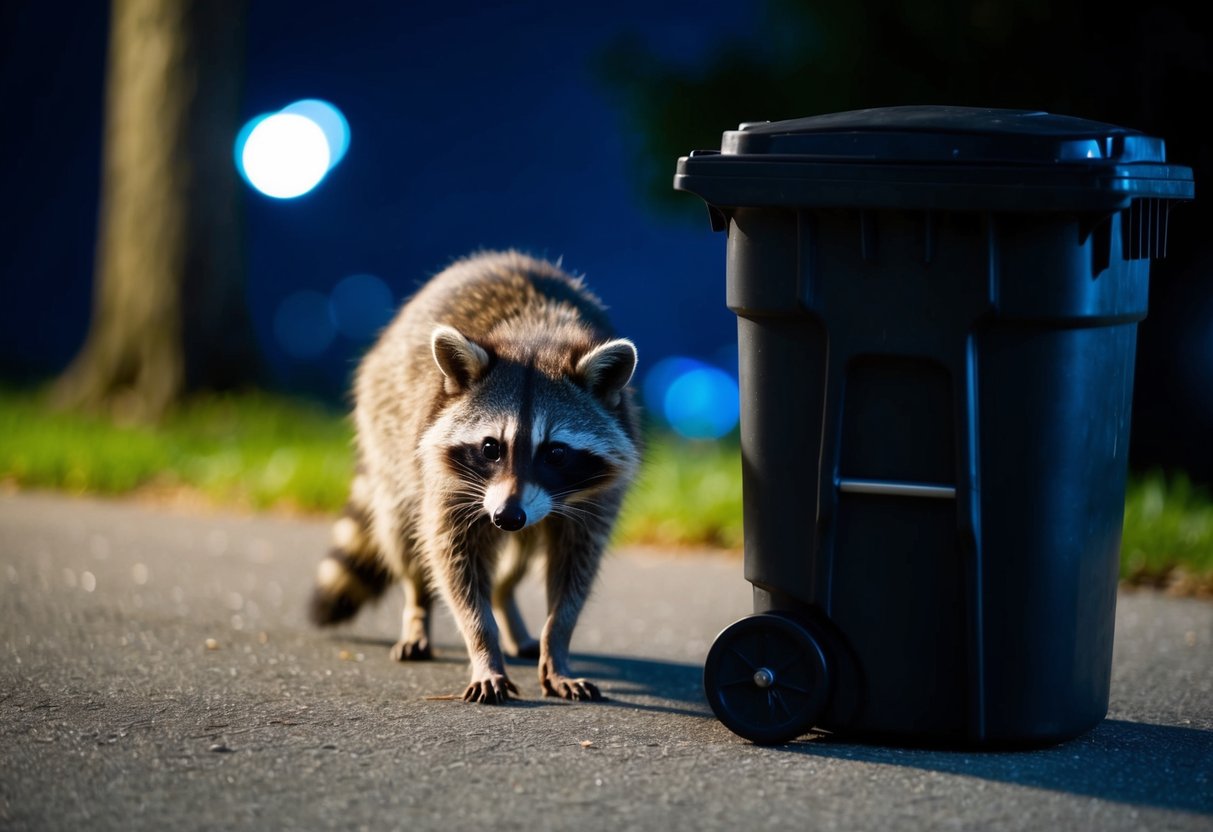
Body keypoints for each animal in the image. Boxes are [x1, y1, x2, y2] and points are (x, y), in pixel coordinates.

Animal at [309, 250, 641, 704]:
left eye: (555, 452)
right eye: (490, 447)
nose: (507, 517)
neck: (535, 337)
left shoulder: (592, 501)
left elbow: (575, 569)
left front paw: (557, 645)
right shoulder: (448, 483)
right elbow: (453, 560)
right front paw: (484, 646)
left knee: (518, 560)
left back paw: (508, 607)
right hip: (388, 434)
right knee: (403, 536)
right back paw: (417, 610)